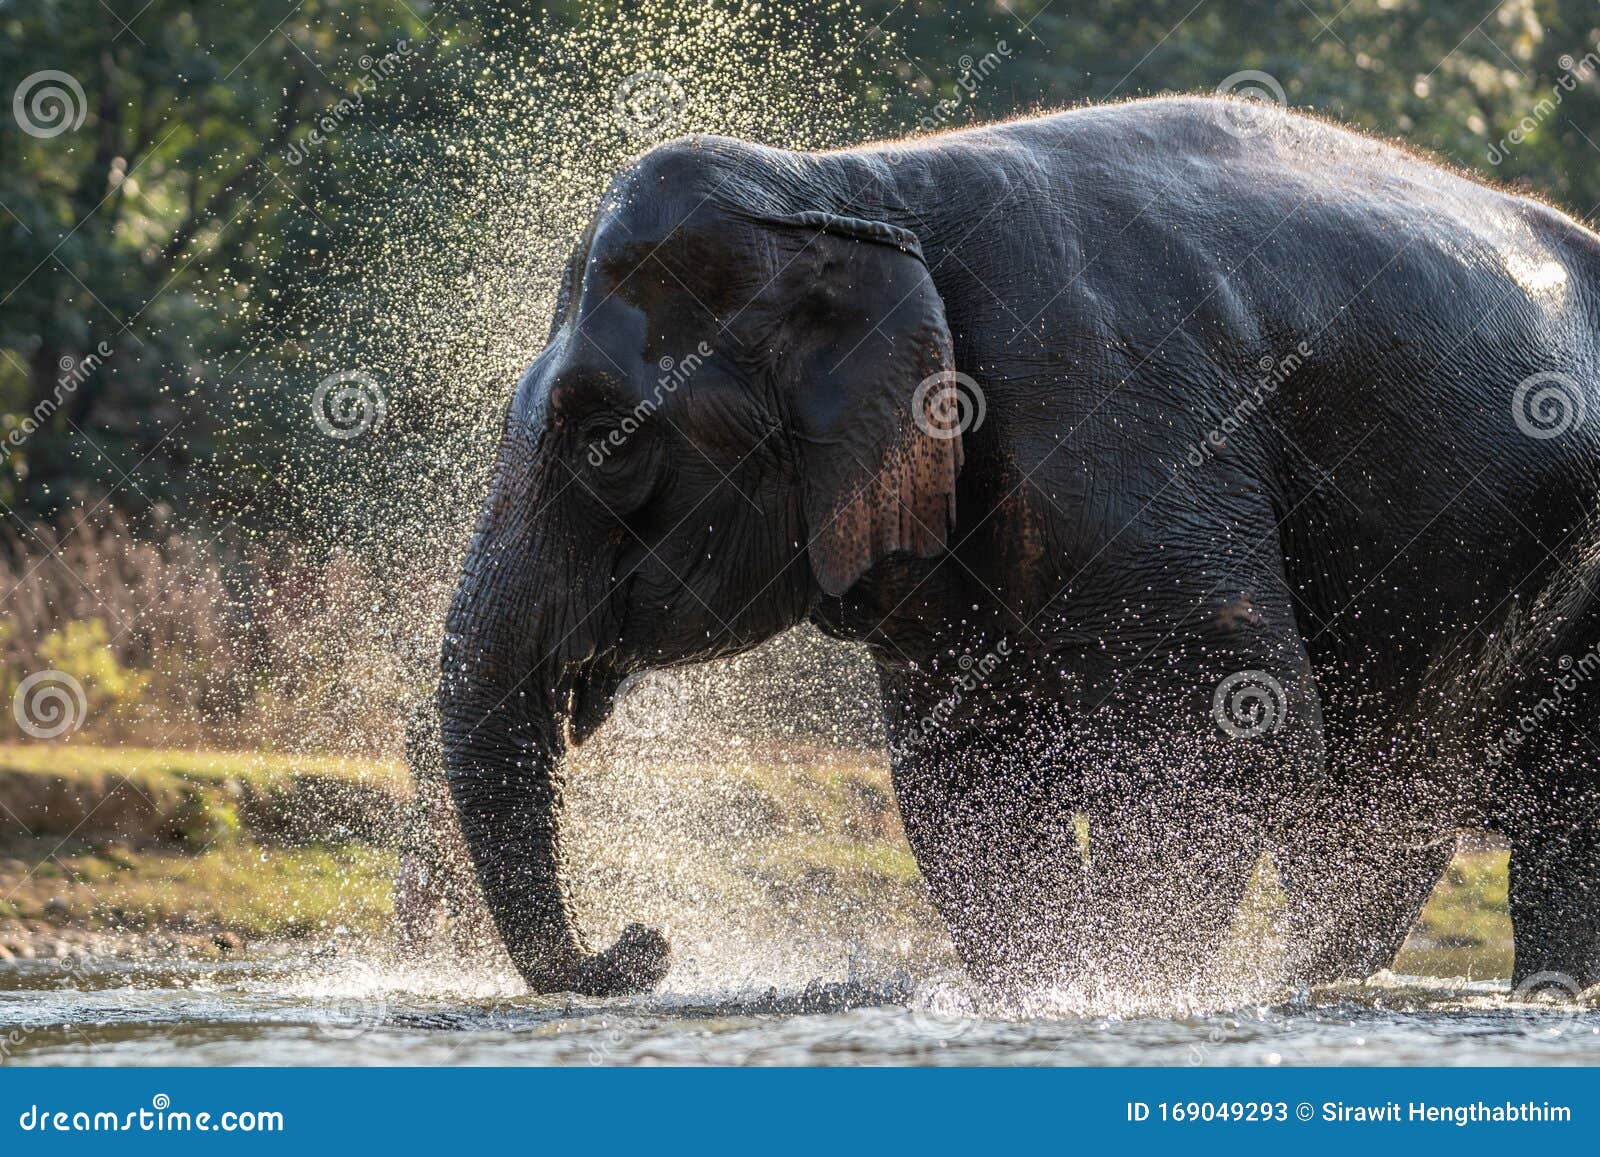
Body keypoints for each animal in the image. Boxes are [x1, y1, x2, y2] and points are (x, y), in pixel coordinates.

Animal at [429, 94, 1600, 998]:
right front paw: (1048, 986)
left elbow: (1220, 718)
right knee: (1385, 825)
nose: (646, 945)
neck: (855, 190)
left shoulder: (1114, 419)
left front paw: (1124, 985)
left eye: (606, 435)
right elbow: (965, 767)